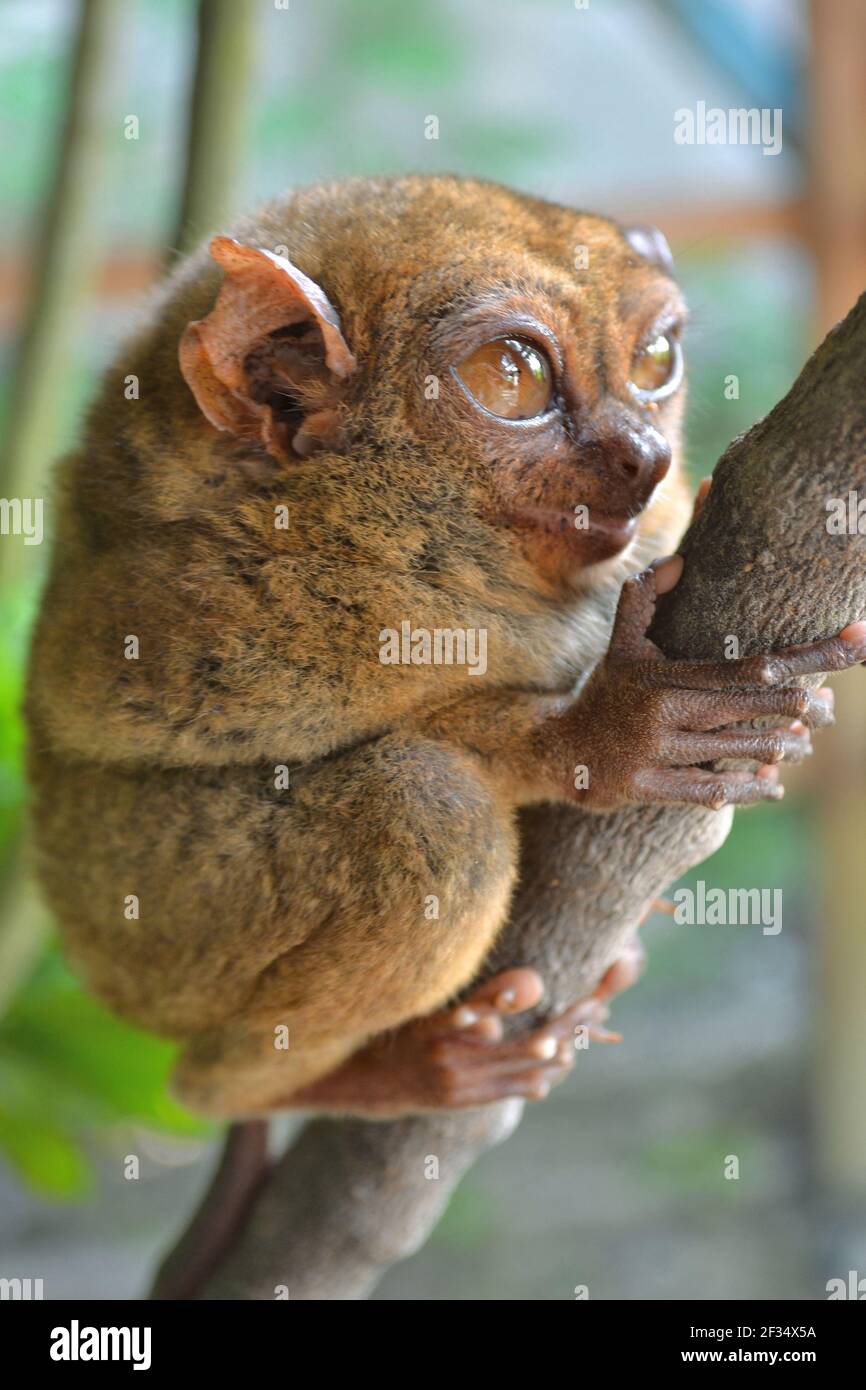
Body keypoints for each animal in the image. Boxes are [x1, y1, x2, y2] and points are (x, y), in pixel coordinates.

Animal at [25, 174, 866, 1124]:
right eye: (511, 376)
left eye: (655, 361)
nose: (646, 457)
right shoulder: (237, 603)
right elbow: (155, 706)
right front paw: (615, 732)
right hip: (154, 918)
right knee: (427, 811)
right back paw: (364, 1076)